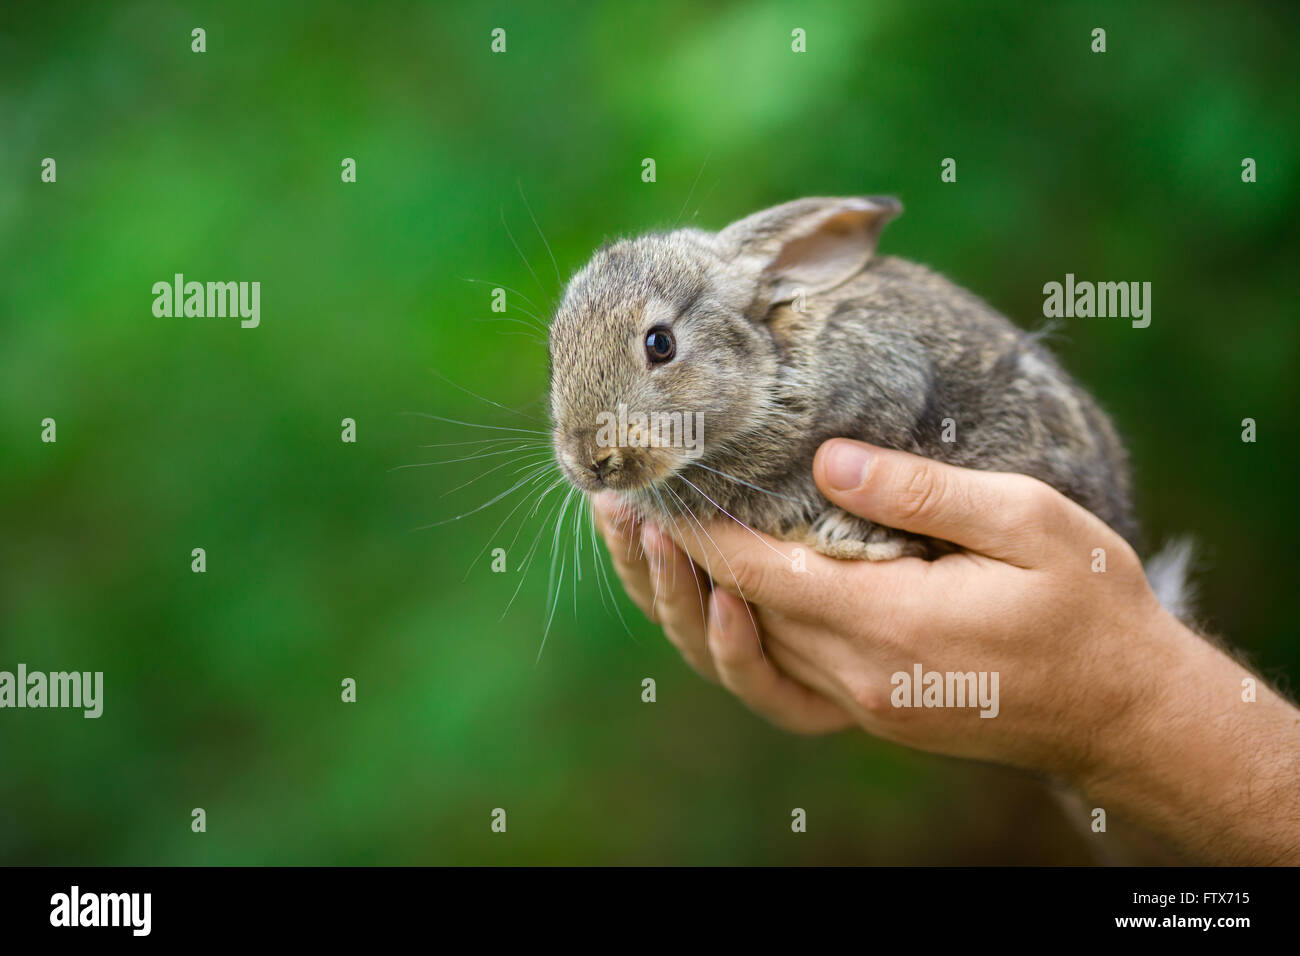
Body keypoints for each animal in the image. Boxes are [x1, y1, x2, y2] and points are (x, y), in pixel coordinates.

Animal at [547, 196, 1186, 608]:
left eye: (660, 344)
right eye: (555, 351)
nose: (591, 463)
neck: (771, 369)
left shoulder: (892, 388)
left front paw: (852, 533)